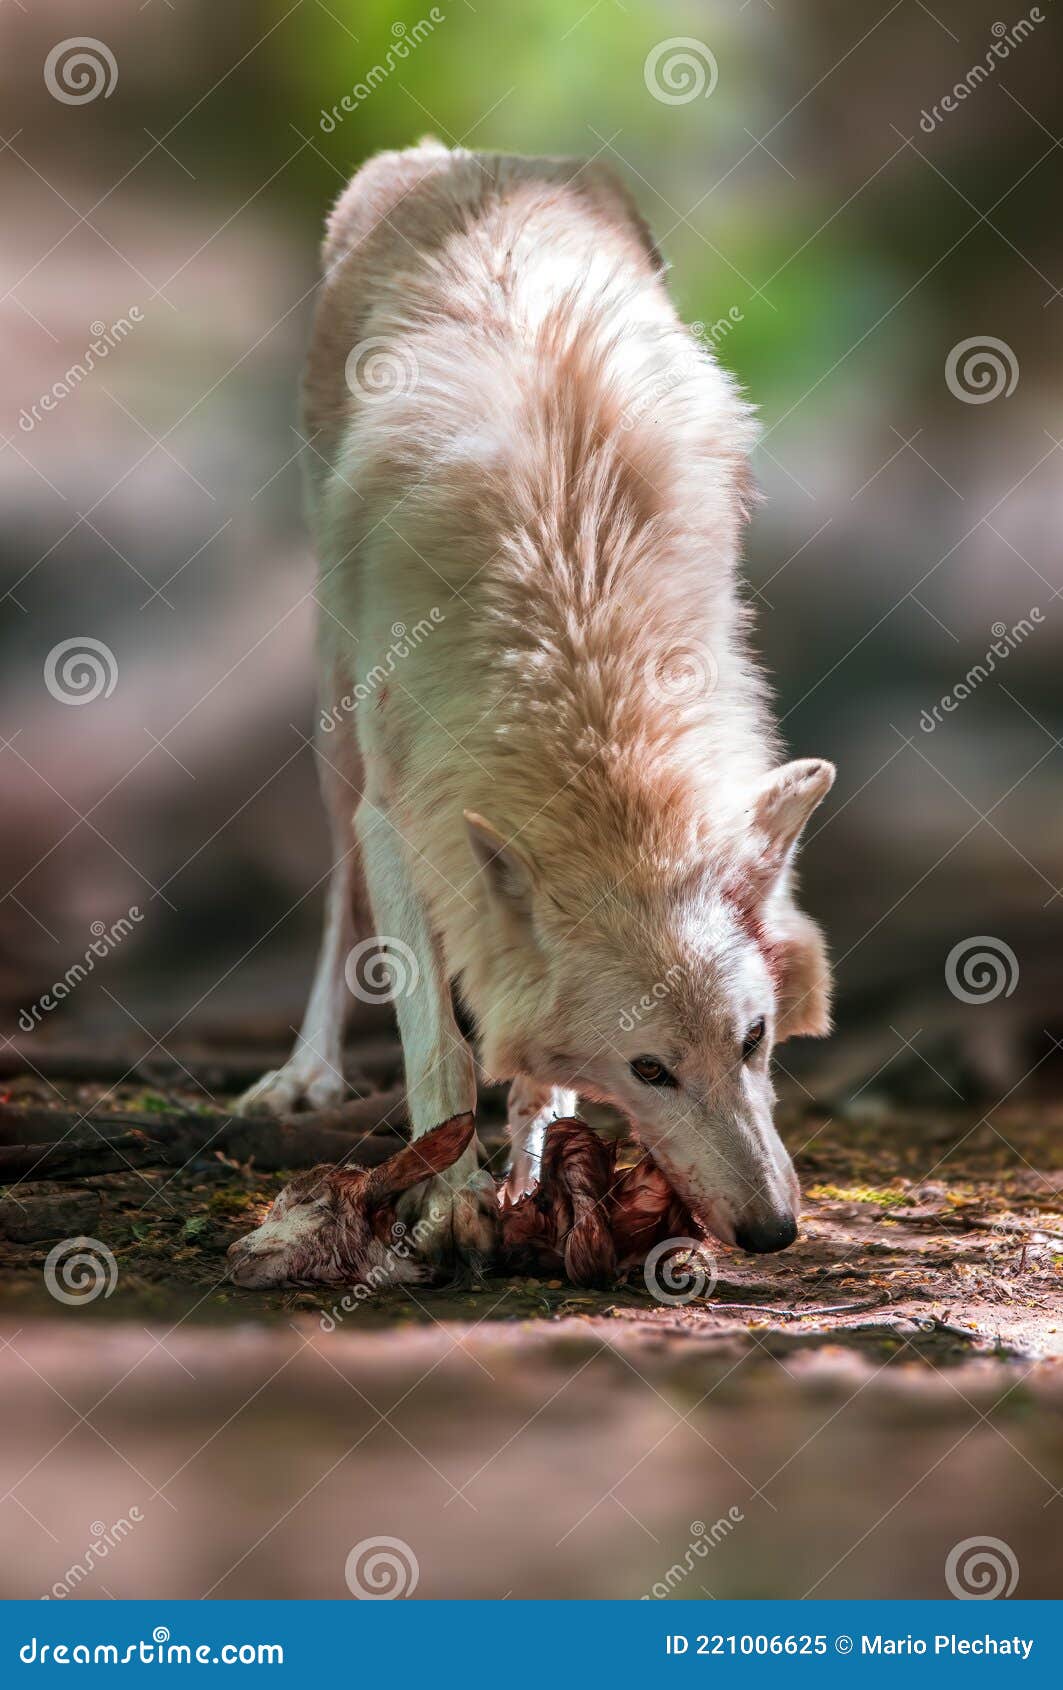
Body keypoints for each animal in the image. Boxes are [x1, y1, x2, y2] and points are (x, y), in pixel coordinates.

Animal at [236, 142, 835, 1266]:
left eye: (753, 1039)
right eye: (650, 1070)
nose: (773, 1230)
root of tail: (460, 158)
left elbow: (533, 1065)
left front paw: (527, 1165)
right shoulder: (403, 811)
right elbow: (435, 1036)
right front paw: (447, 1196)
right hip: (335, 722)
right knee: (339, 902)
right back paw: (305, 1075)